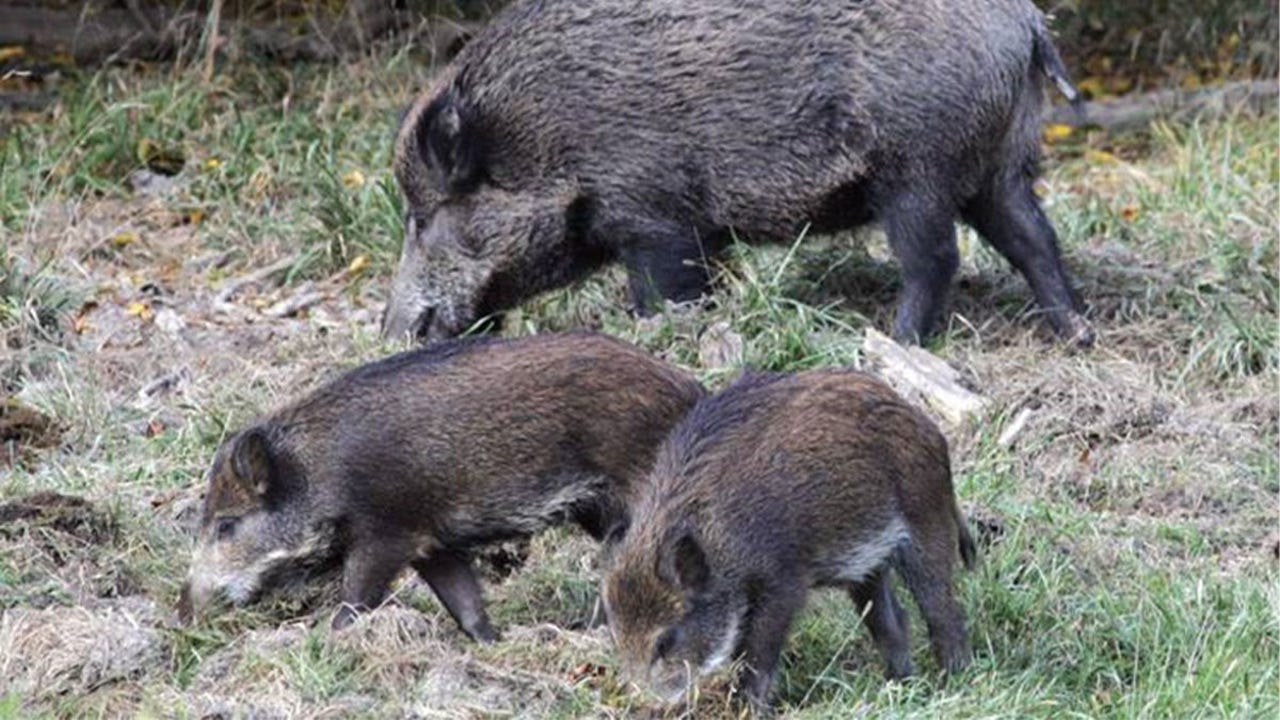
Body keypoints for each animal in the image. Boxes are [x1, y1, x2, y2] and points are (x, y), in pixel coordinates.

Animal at [178, 332, 704, 639]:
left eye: (226, 525)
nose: (182, 614)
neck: (318, 475)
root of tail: (692, 389)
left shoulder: (386, 532)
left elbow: (357, 594)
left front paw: (332, 638)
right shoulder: (433, 542)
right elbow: (464, 601)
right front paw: (490, 642)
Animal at [383, 0, 1093, 347]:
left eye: (422, 216)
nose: (391, 332)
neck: (541, 141)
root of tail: (1028, 24)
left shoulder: (655, 217)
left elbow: (665, 291)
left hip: (918, 168)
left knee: (935, 257)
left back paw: (893, 342)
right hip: (995, 162)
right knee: (1032, 236)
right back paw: (1073, 334)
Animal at [600, 369, 976, 711]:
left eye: (666, 640)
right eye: (617, 637)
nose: (643, 706)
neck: (719, 536)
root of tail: (928, 429)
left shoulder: (784, 582)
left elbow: (758, 652)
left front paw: (749, 708)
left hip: (926, 526)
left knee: (944, 610)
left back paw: (951, 681)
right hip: (868, 565)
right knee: (891, 621)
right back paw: (898, 685)